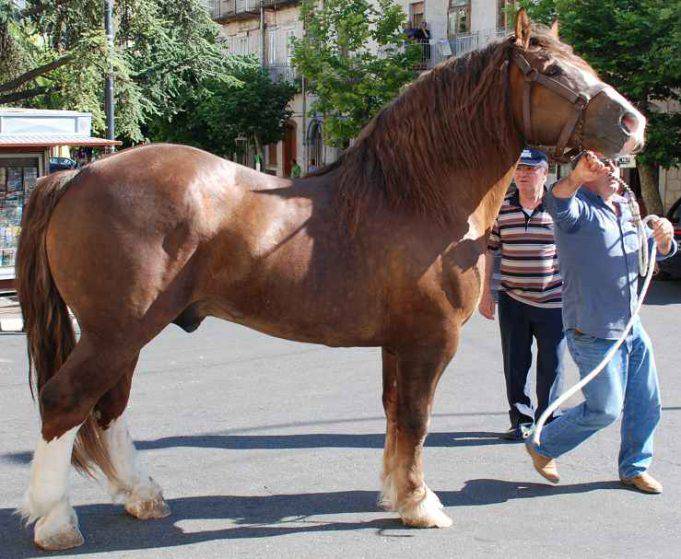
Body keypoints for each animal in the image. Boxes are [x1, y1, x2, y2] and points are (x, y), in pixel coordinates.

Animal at [16, 10, 645, 550]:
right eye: (554, 71)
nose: (633, 124)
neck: (415, 195)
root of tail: (80, 174)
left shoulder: (399, 344)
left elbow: (395, 416)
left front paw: (395, 494)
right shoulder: (430, 341)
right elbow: (416, 419)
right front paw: (421, 504)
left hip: (127, 335)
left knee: (109, 407)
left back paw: (140, 495)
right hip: (116, 332)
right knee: (66, 401)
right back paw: (55, 521)